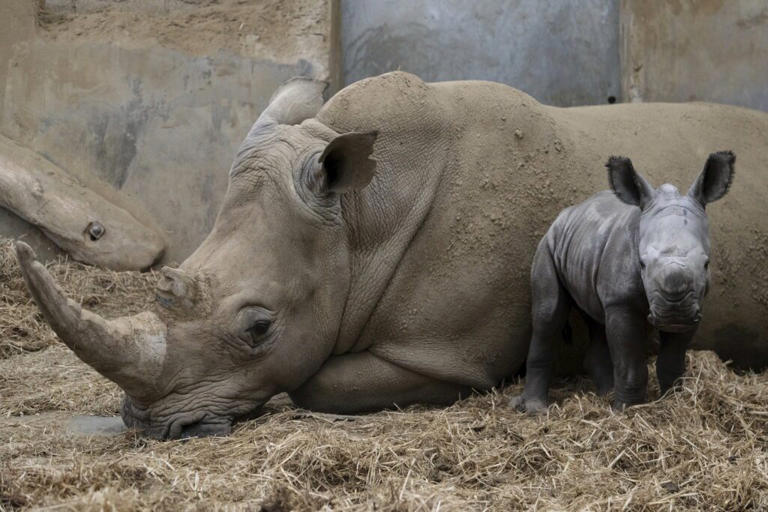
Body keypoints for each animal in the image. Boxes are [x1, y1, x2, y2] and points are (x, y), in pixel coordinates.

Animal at [512, 152, 734, 413]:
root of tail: (564, 215)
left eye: (706, 264)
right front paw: (627, 410)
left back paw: (605, 394)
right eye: (642, 264)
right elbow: (630, 364)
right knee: (548, 315)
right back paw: (536, 409)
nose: (674, 312)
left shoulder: (696, 304)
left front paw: (673, 401)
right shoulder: (620, 302)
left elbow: (671, 361)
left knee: (595, 318)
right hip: (547, 245)